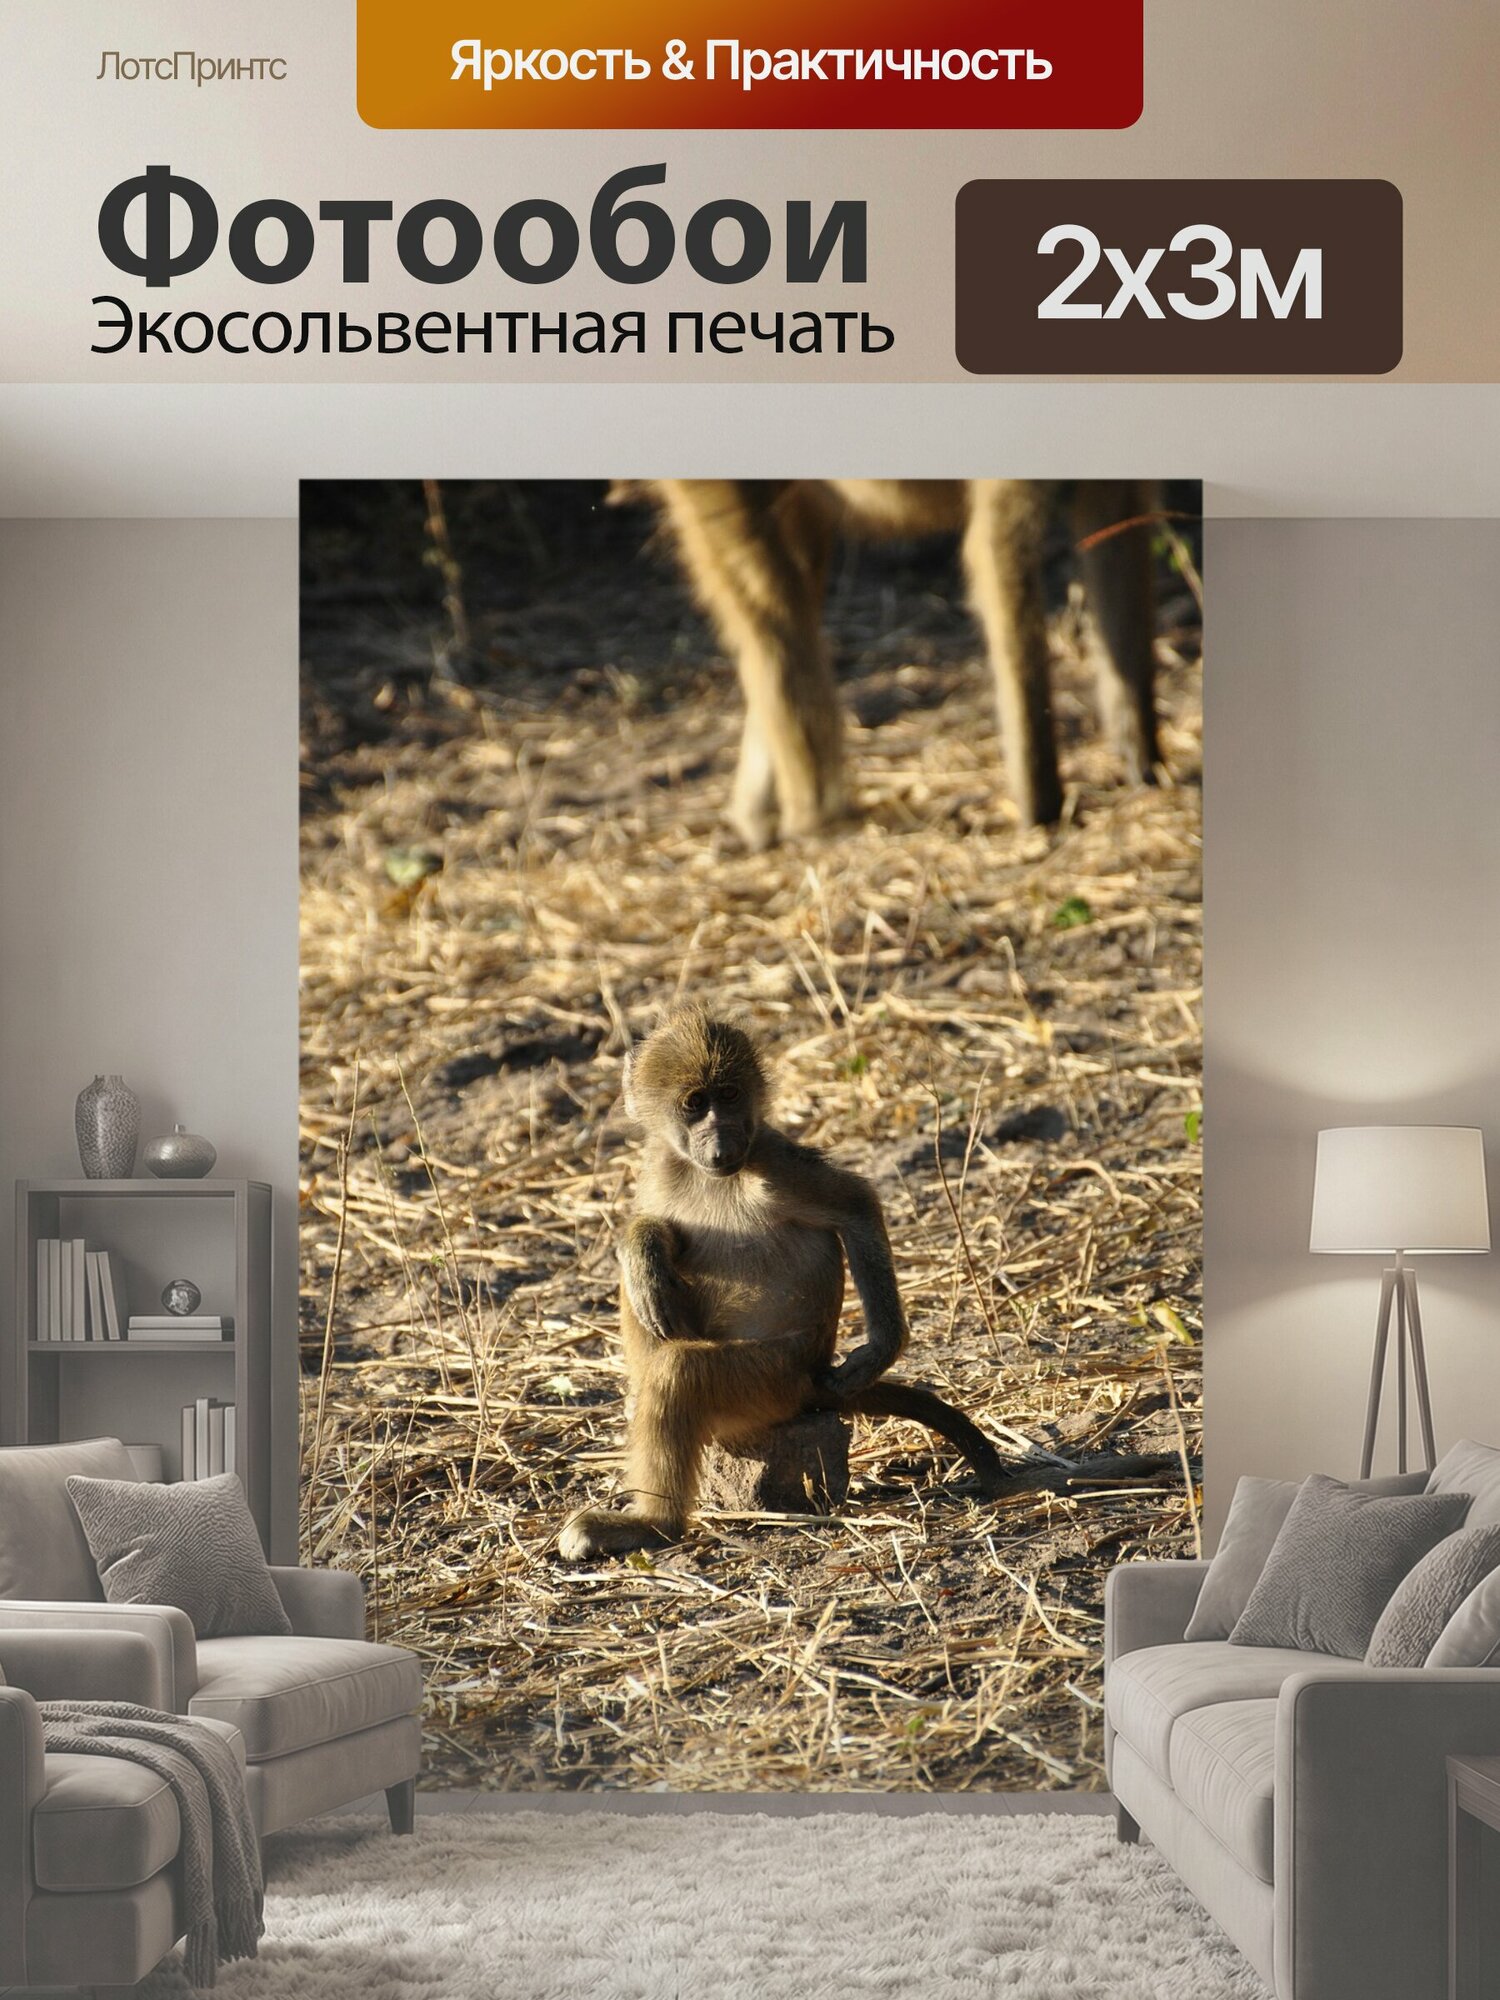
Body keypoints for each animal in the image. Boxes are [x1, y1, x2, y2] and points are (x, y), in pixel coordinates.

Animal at [557, 1009, 1022, 1563]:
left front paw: (877, 1352)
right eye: (696, 1103)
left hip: (771, 1385)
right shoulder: (660, 1167)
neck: (708, 1176)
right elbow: (655, 1229)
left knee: (678, 1370)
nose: (721, 1143)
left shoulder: (775, 1168)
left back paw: (653, 1524)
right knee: (652, 1300)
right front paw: (642, 1247)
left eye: (729, 1095)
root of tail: (811, 1383)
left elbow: (857, 1204)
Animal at [615, 478, 1161, 852]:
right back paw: (815, 819)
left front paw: (1148, 769)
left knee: (793, 593)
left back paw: (763, 817)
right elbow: (1000, 558)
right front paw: (1041, 809)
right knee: (774, 614)